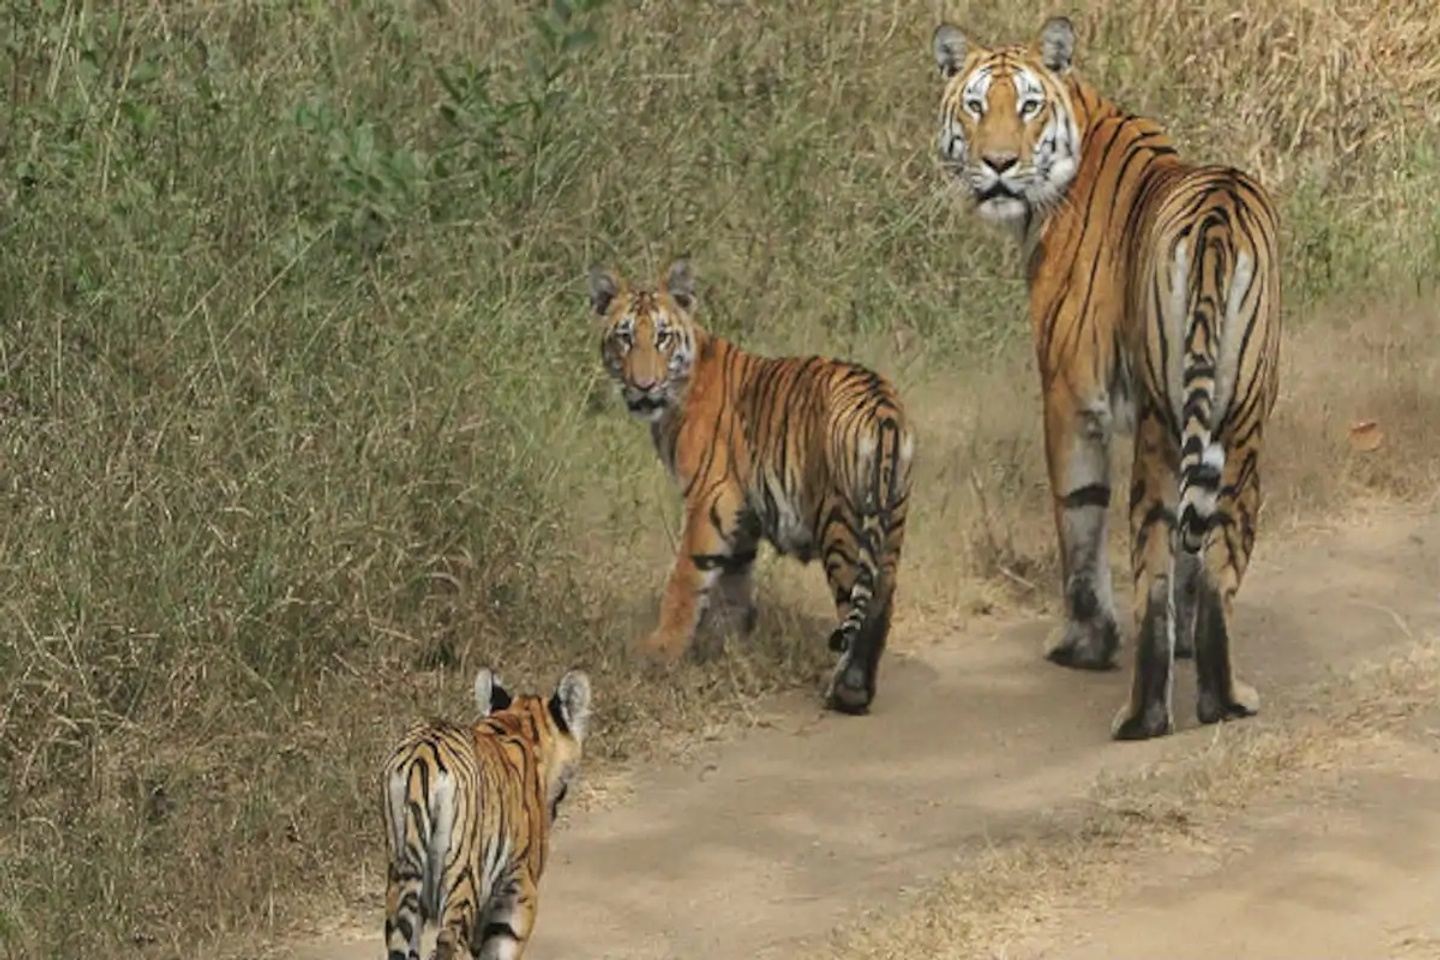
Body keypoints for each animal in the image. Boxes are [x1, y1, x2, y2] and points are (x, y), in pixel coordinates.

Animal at [382, 668, 592, 960]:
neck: (520, 723)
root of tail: (421, 755)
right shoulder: (517, 890)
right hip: (462, 875)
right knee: (449, 942)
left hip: (401, 879)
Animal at [588, 259, 914, 714]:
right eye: (625, 337)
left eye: (662, 337)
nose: (643, 385)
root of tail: (882, 407)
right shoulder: (743, 511)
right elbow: (734, 583)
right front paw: (729, 648)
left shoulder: (710, 497)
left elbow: (686, 578)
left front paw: (659, 652)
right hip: (892, 517)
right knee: (883, 596)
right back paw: (858, 688)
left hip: (840, 521)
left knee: (857, 603)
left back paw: (845, 692)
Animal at [929, 17, 1281, 740]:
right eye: (975, 105)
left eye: (1027, 106)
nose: (998, 165)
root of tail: (1220, 215)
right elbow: (1193, 557)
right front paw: (1184, 641)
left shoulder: (1069, 395)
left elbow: (1078, 518)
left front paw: (1084, 643)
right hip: (1241, 422)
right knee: (1219, 562)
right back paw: (1225, 699)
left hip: (1160, 425)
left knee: (1151, 569)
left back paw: (1144, 714)